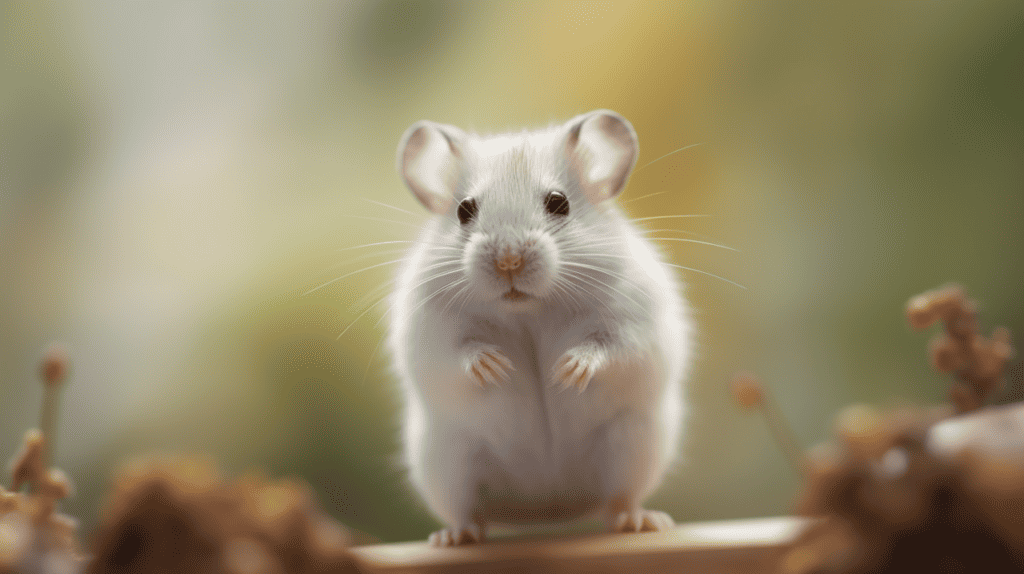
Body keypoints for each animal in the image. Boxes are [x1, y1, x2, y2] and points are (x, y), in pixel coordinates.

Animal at [388, 110, 692, 546]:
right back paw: (454, 537)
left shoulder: (633, 323)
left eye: (558, 203)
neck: (527, 310)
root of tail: (548, 512)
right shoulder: (431, 331)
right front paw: (496, 367)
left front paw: (566, 371)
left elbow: (605, 347)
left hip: (632, 446)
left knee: (619, 499)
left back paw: (641, 521)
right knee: (469, 512)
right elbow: (459, 352)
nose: (509, 260)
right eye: (464, 210)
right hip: (449, 463)